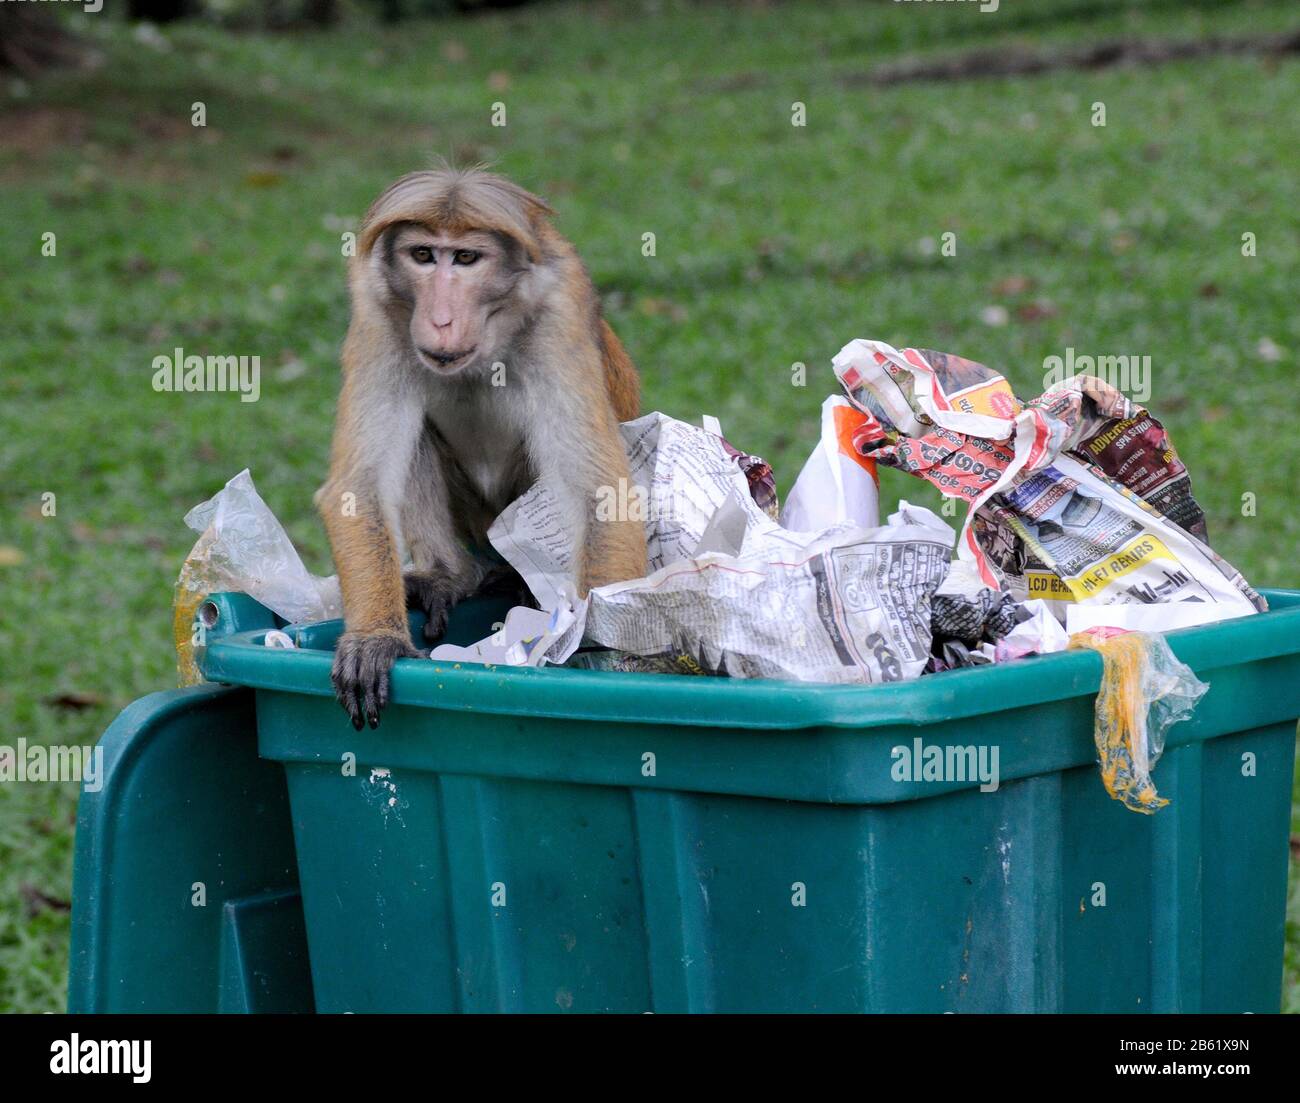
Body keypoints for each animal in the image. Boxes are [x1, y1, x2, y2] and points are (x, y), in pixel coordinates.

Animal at [316, 167, 647, 730]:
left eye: (467, 259)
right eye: (423, 255)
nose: (440, 319)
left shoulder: (560, 314)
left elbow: (600, 490)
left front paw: (593, 653)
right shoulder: (378, 313)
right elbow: (358, 486)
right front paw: (374, 639)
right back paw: (449, 576)